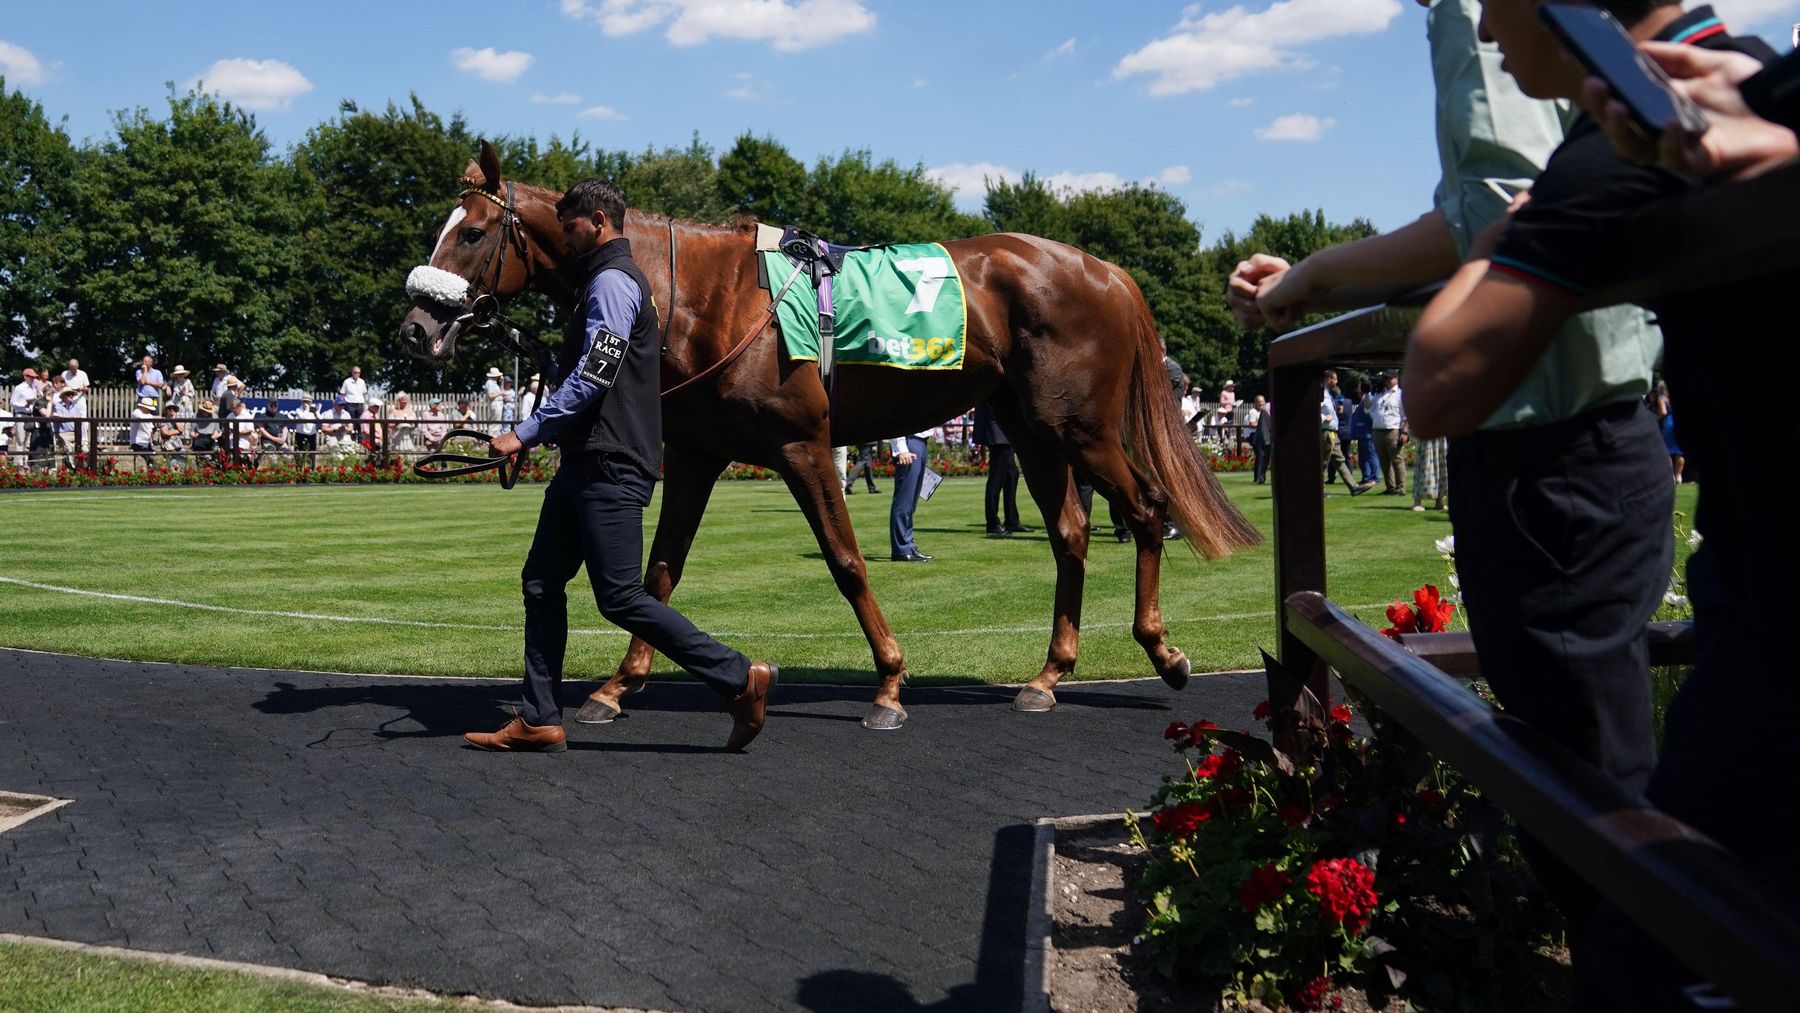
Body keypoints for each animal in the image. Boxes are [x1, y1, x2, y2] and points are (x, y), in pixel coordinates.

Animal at [399, 142, 1260, 731]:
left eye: (473, 232)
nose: (414, 328)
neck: (709, 296)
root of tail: (1108, 271)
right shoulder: (697, 454)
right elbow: (660, 572)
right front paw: (618, 684)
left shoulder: (803, 446)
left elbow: (846, 562)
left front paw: (889, 683)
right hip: (1032, 431)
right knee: (1072, 533)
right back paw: (1050, 675)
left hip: (1078, 427)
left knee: (1146, 510)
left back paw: (1162, 651)